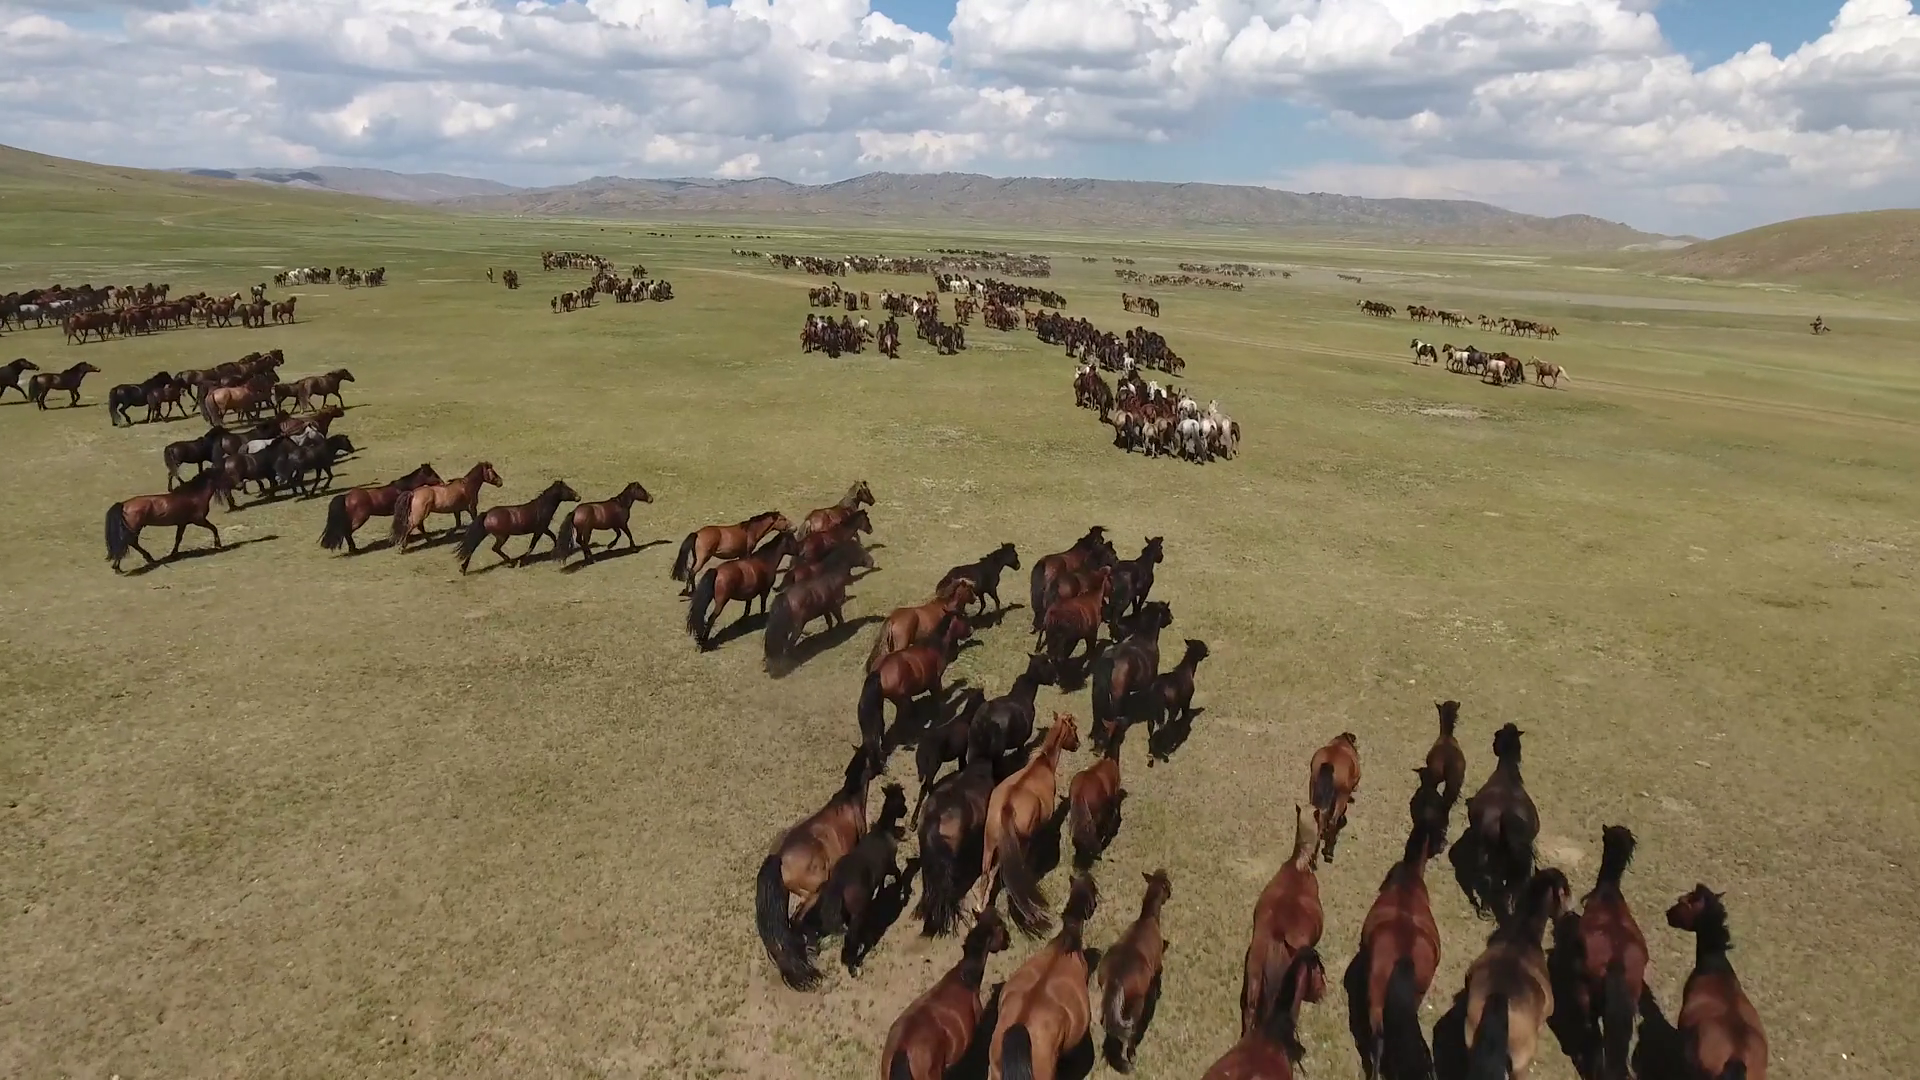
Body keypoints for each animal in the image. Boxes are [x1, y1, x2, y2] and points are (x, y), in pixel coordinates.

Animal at [813, 784, 909, 975]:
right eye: (901, 799)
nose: (905, 810)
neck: (882, 830)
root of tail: (839, 884)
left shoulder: (881, 871)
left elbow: (882, 883)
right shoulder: (891, 864)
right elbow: (898, 875)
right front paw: (903, 894)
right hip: (856, 915)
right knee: (851, 938)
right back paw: (853, 967)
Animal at [857, 612, 971, 759]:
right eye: (963, 618)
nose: (970, 630)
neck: (933, 647)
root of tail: (879, 670)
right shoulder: (935, 682)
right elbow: (938, 701)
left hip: (881, 704)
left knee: (881, 724)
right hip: (900, 700)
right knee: (901, 720)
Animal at [969, 713, 1080, 937]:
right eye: (1074, 728)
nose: (1078, 744)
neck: (1043, 763)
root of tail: (1006, 806)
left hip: (989, 844)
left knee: (985, 876)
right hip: (1021, 844)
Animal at [1096, 870, 1171, 1073]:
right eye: (1168, 885)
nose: (1171, 894)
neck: (1147, 919)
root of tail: (1116, 978)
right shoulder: (1157, 967)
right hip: (1135, 1005)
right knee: (1130, 1033)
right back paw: (1130, 1058)